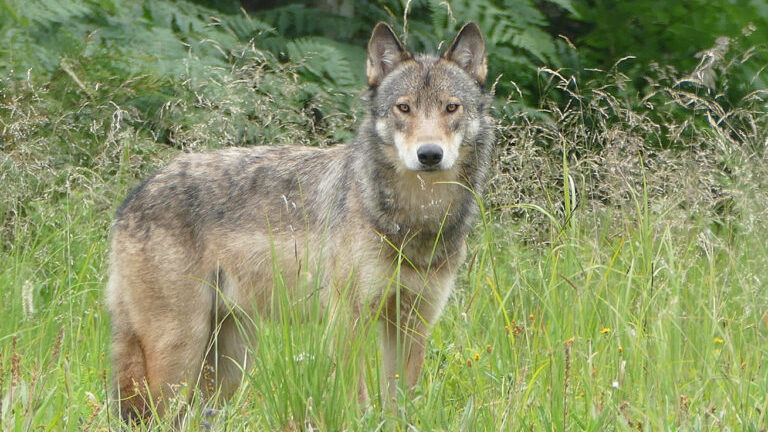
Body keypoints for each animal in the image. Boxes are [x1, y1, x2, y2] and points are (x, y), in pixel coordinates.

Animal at [106, 21, 493, 421]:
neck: (415, 219)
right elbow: (356, 397)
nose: (429, 154)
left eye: (451, 107)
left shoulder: (412, 323)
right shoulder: (348, 319)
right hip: (181, 354)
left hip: (229, 364)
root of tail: (133, 196)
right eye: (404, 108)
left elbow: (400, 403)